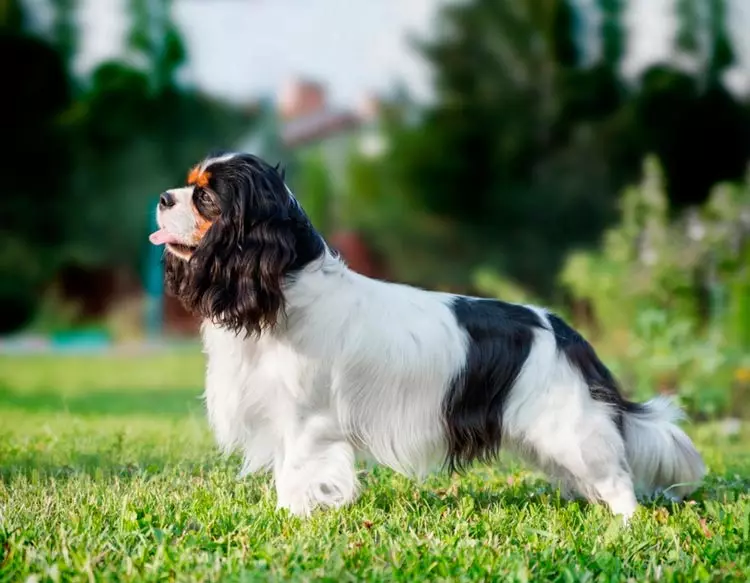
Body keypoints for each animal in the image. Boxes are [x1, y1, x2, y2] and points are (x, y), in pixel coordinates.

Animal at [150, 152, 708, 520]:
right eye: (187, 186)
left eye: (204, 196)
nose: (162, 197)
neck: (285, 286)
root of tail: (563, 330)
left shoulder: (308, 422)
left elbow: (297, 474)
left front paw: (293, 519)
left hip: (569, 427)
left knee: (618, 478)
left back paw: (625, 524)